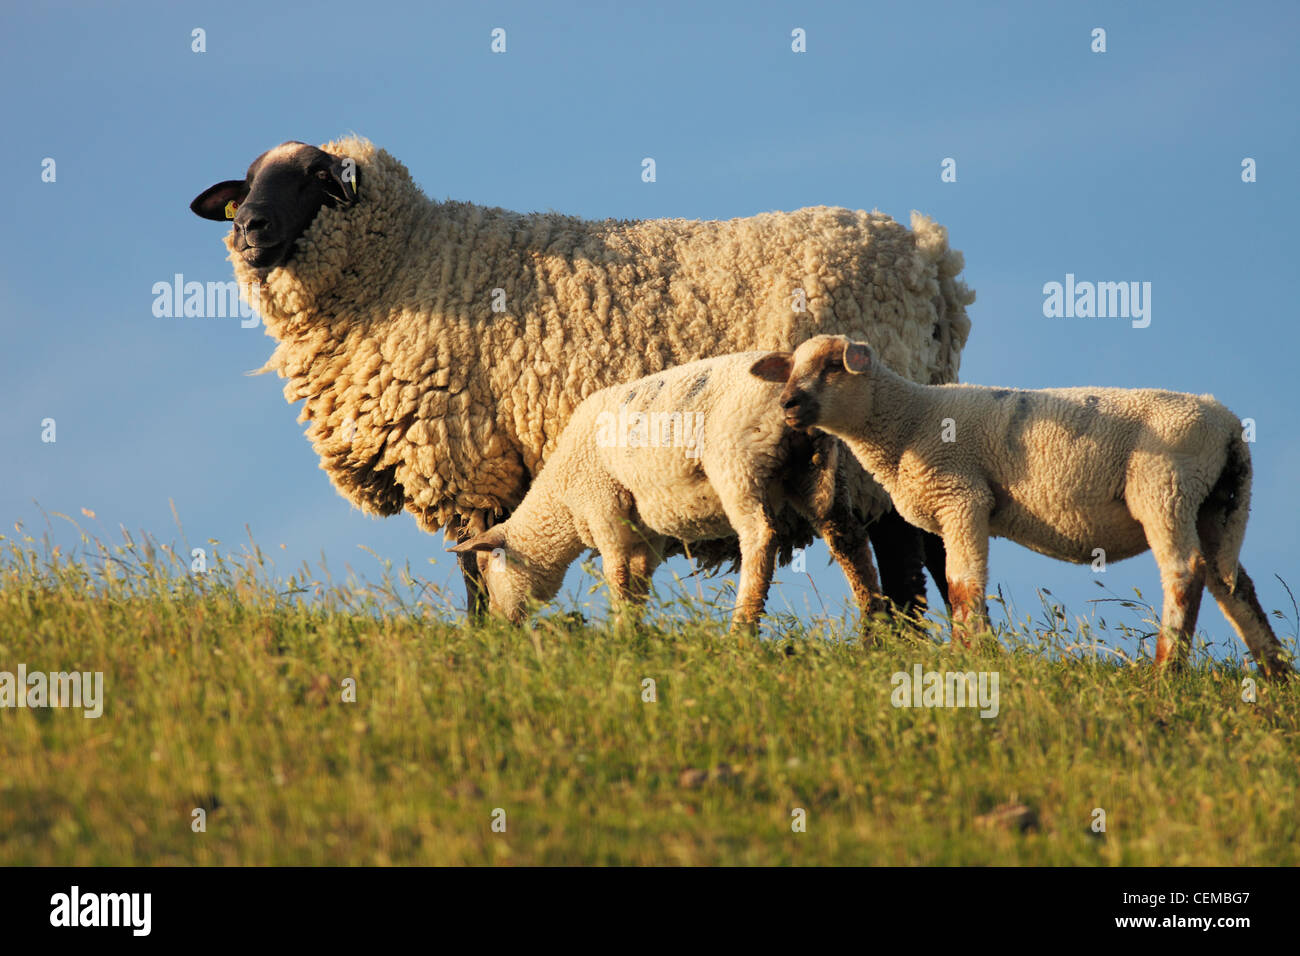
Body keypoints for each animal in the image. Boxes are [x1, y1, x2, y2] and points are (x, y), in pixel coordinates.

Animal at [450, 352, 893, 630]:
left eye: (486, 568)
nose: (500, 630)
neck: (560, 502)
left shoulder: (603, 508)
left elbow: (615, 574)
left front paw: (621, 634)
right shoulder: (648, 534)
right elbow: (638, 583)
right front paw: (635, 631)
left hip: (739, 464)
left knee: (760, 538)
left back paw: (742, 630)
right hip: (818, 472)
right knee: (848, 539)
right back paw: (876, 630)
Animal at [750, 334, 1292, 679]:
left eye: (833, 366)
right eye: (791, 369)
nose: (787, 404)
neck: (904, 421)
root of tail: (1228, 426)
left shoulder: (962, 495)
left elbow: (963, 583)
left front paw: (966, 656)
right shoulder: (953, 507)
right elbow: (959, 586)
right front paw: (978, 651)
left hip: (1164, 486)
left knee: (1185, 570)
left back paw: (1165, 672)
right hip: (1215, 504)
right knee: (1232, 585)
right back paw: (1277, 675)